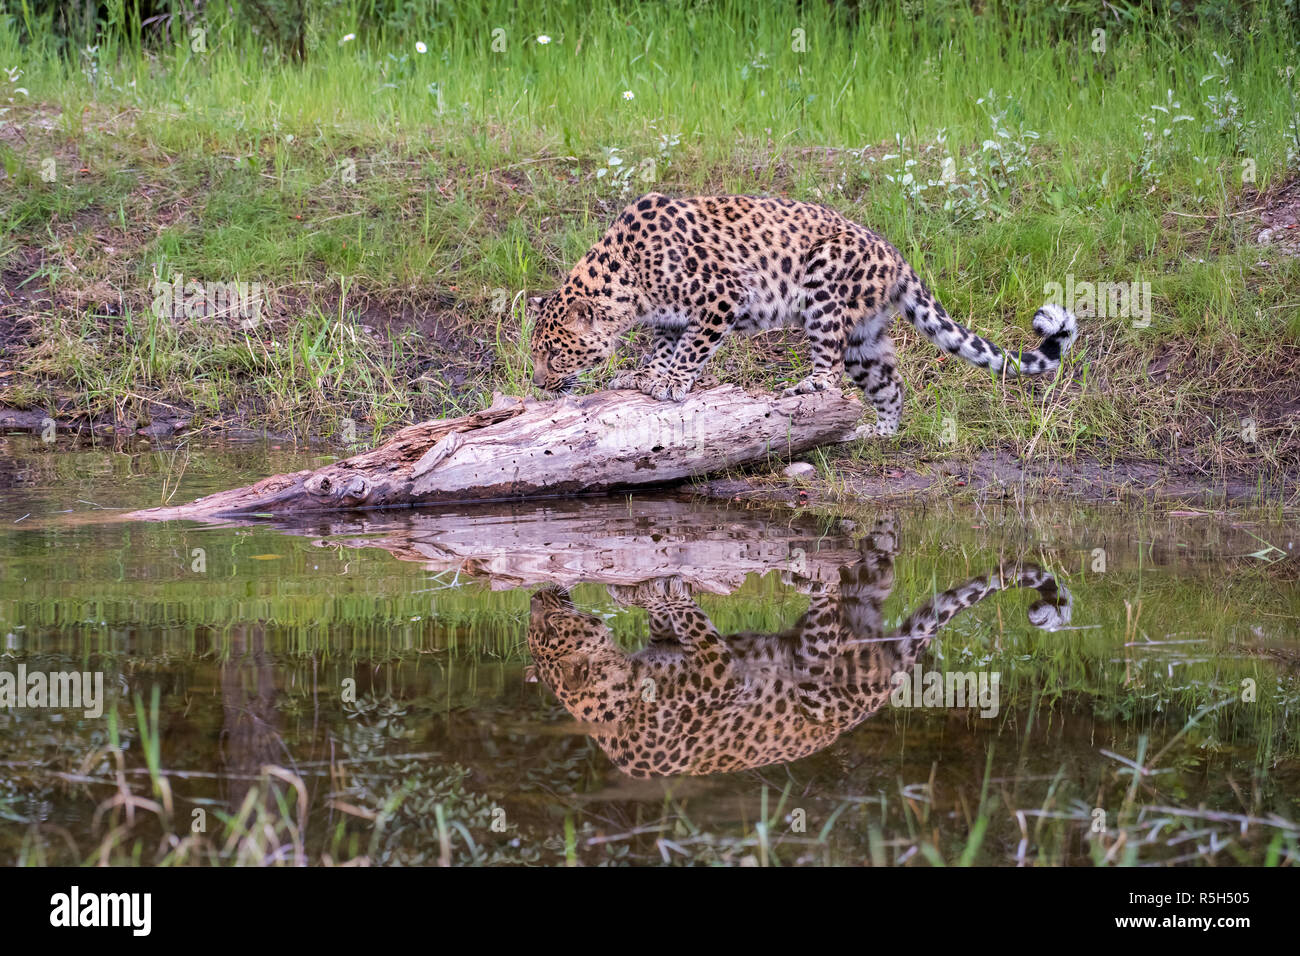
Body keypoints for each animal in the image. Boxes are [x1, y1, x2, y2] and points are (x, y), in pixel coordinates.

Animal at [526, 518, 1072, 777]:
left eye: (546, 627)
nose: (536, 596)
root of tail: (891, 673)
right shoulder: (696, 660)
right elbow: (669, 617)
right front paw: (646, 588)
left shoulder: (716, 670)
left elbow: (674, 611)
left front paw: (643, 589)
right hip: (852, 621)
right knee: (871, 571)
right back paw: (813, 571)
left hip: (820, 675)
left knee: (845, 583)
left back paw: (803, 571)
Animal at [528, 193, 1078, 435]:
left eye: (554, 354)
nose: (537, 383)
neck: (628, 281)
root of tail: (895, 255)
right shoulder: (670, 317)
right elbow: (665, 347)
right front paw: (644, 377)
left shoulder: (722, 296)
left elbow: (692, 350)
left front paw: (671, 385)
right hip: (865, 339)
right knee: (890, 384)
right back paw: (875, 433)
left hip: (824, 288)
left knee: (829, 363)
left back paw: (809, 387)